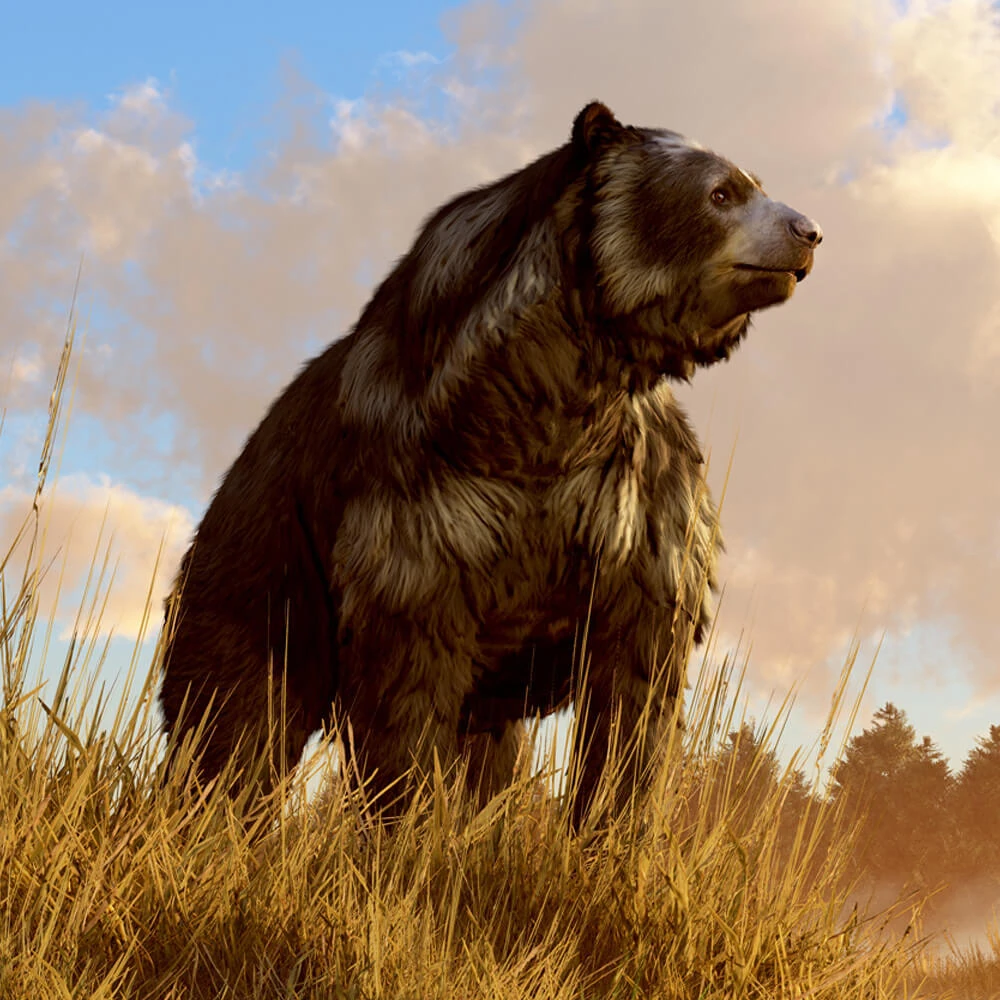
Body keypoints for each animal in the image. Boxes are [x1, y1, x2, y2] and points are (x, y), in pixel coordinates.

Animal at [159, 101, 822, 822]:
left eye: (755, 181)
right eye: (721, 192)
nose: (808, 231)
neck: (541, 407)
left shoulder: (638, 508)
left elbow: (636, 692)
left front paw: (610, 826)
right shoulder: (422, 510)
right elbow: (406, 687)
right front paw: (407, 819)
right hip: (261, 567)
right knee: (233, 714)